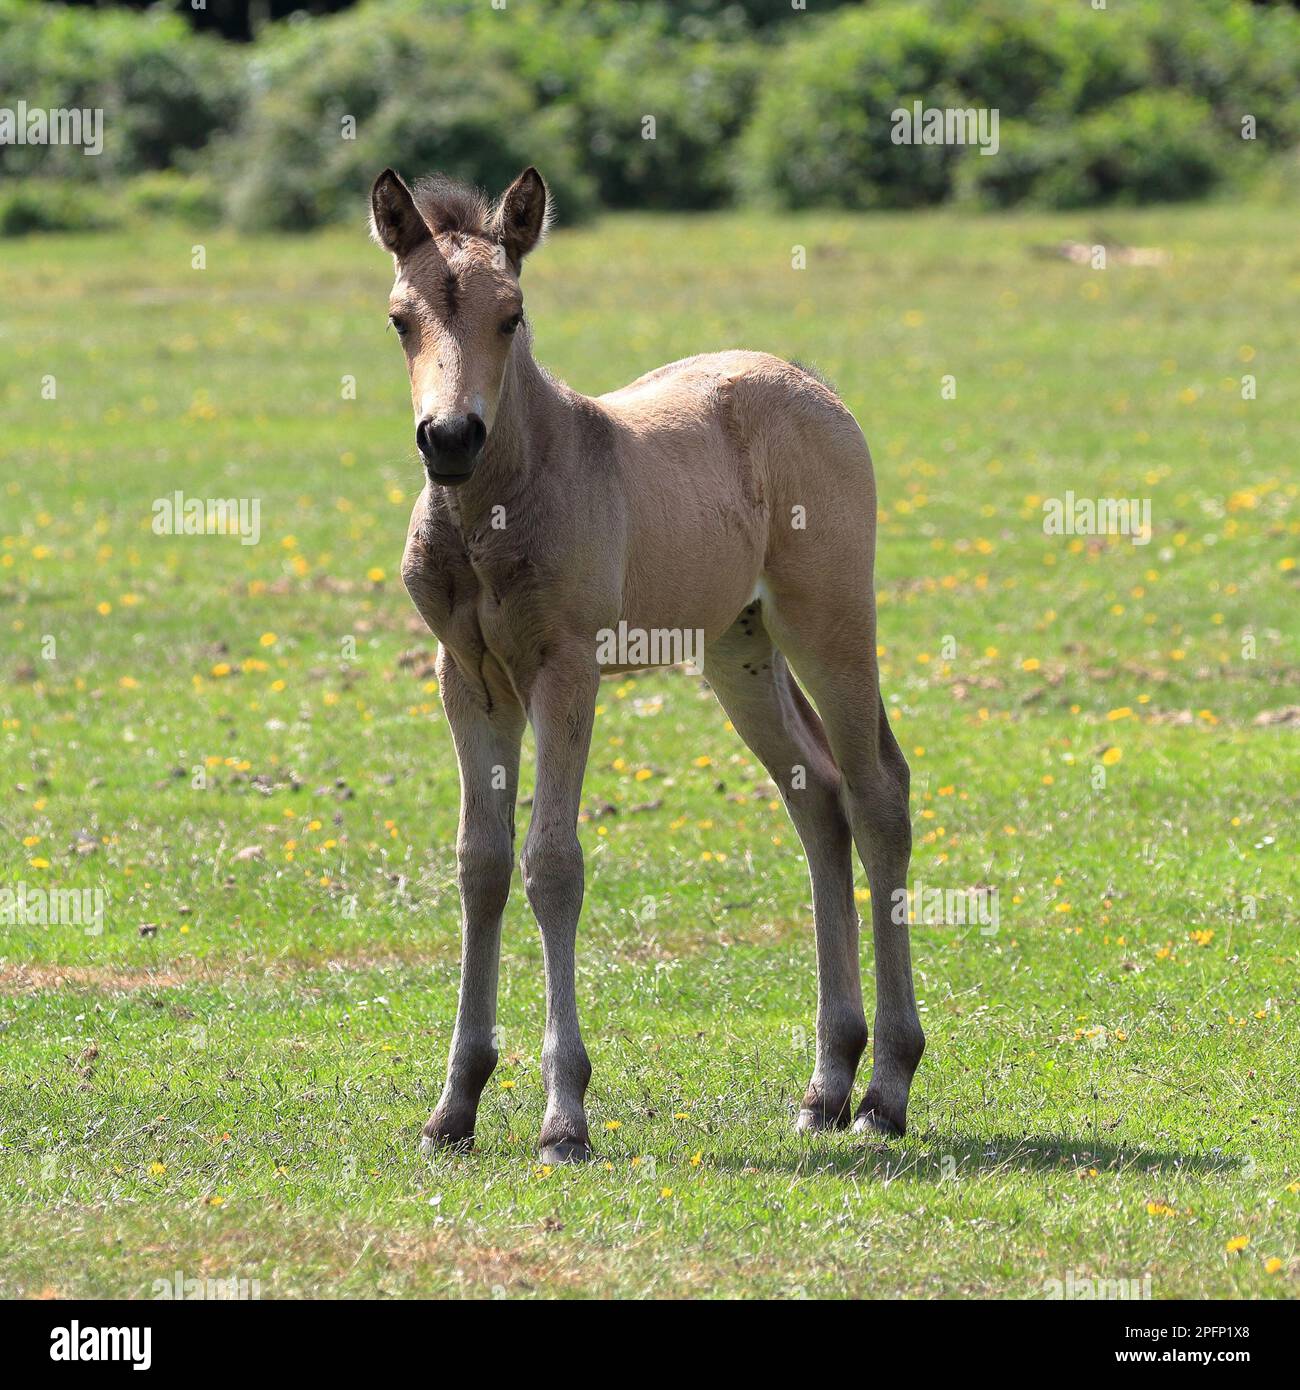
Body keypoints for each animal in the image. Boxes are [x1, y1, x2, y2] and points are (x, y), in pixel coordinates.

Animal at [370, 166, 923, 1163]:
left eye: (512, 315)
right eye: (401, 317)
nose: (451, 438)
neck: (495, 509)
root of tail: (813, 385)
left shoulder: (566, 670)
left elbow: (552, 863)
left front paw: (564, 1118)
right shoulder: (466, 677)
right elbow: (481, 863)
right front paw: (454, 1106)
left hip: (827, 621)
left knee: (877, 793)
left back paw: (885, 1091)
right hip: (740, 649)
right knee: (818, 801)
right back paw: (826, 1084)